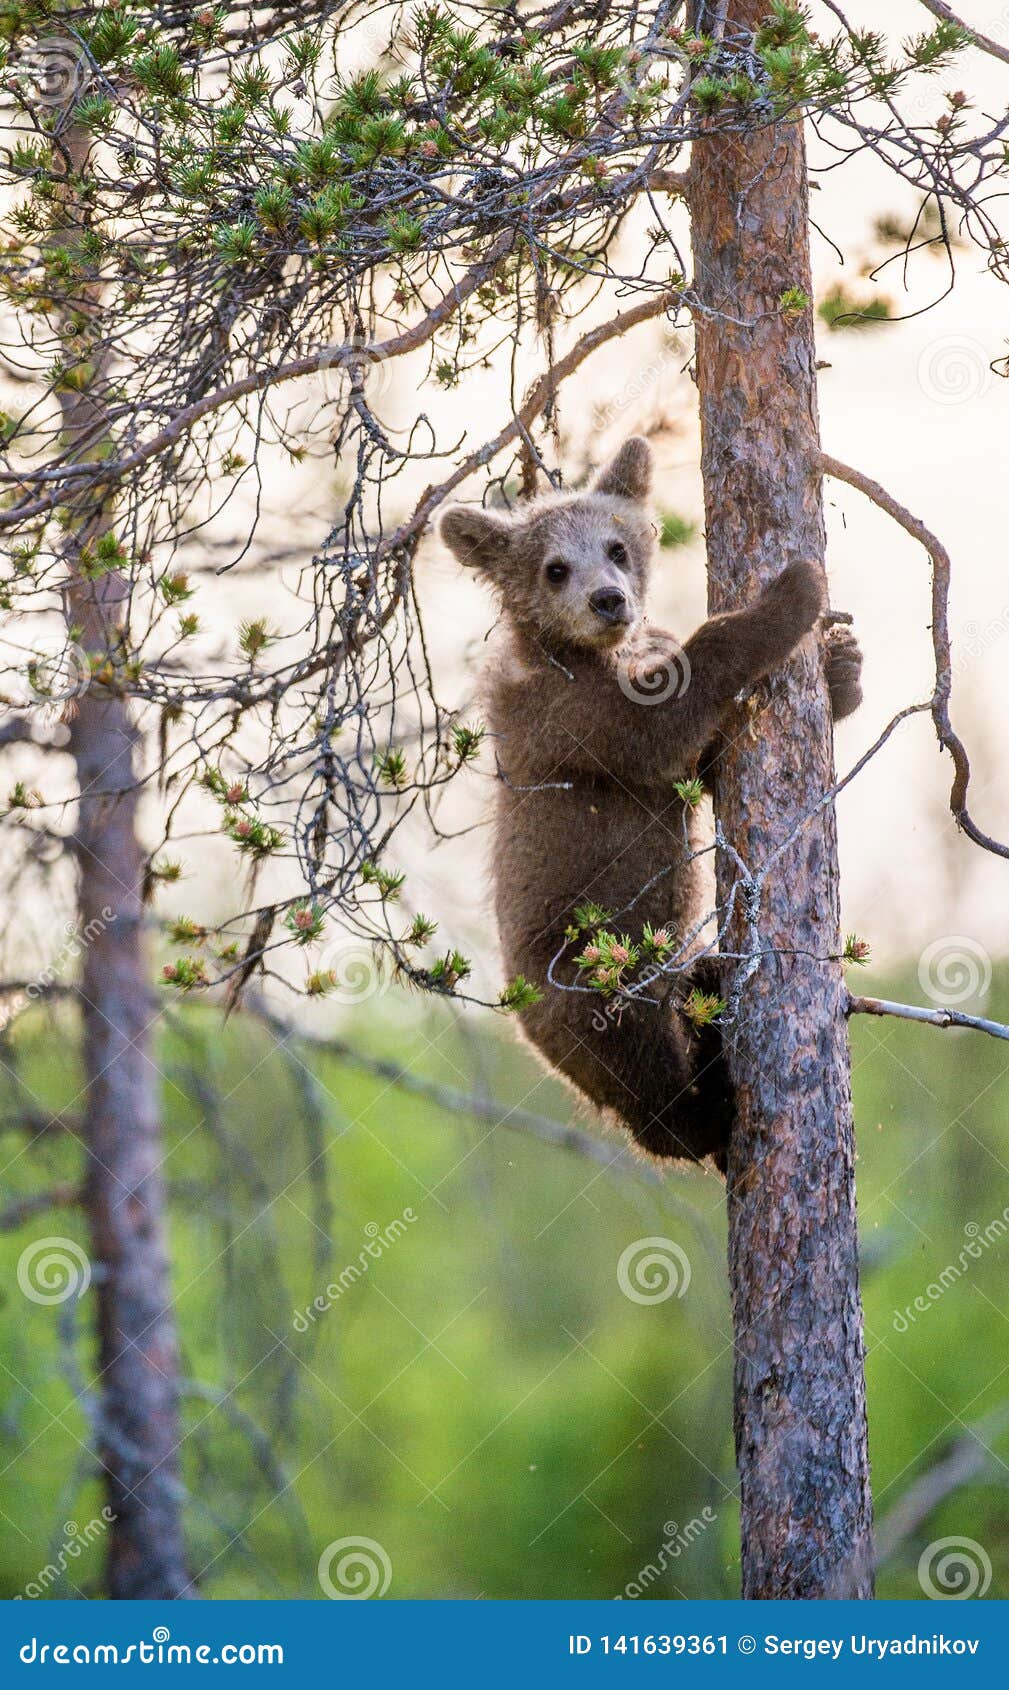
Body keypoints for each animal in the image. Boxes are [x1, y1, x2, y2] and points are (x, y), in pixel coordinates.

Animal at [440, 436, 862, 1170]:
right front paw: (793, 591)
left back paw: (709, 995)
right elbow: (660, 721)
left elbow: (704, 763)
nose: (608, 600)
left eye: (616, 546)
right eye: (554, 568)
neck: (588, 654)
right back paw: (707, 1108)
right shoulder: (564, 714)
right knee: (642, 1068)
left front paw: (842, 665)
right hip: (587, 978)